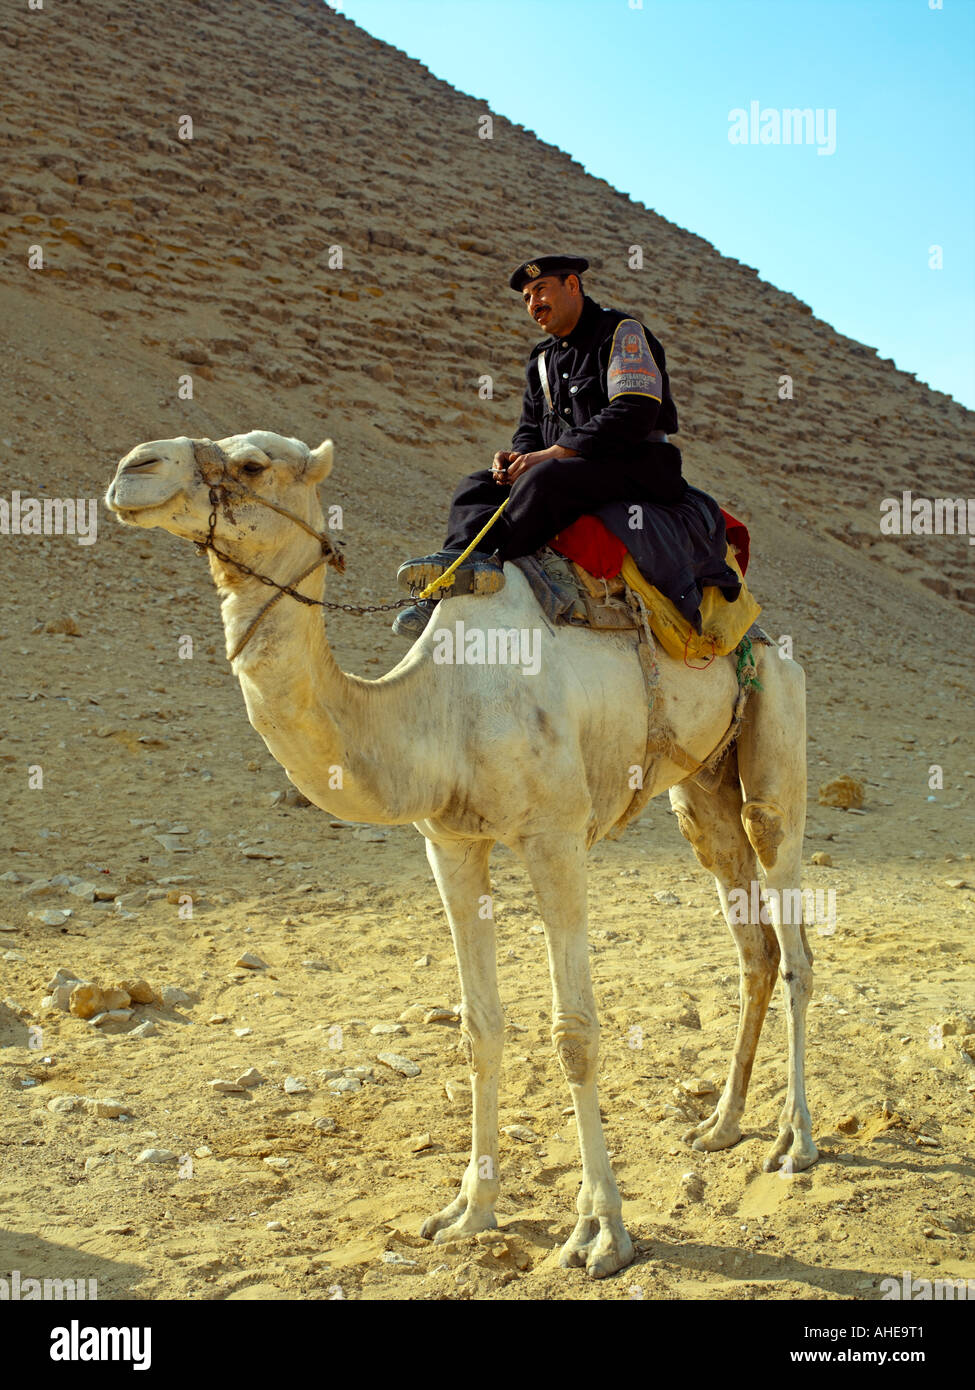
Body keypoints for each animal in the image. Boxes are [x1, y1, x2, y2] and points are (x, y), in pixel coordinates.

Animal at [105, 430, 817, 1280]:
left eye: (252, 464)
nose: (133, 469)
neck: (435, 705)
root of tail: (761, 631)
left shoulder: (555, 836)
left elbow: (574, 1034)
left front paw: (600, 1230)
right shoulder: (449, 841)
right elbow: (479, 1026)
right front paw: (467, 1211)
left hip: (774, 728)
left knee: (791, 929)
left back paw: (795, 1141)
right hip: (701, 790)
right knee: (752, 945)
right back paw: (721, 1123)